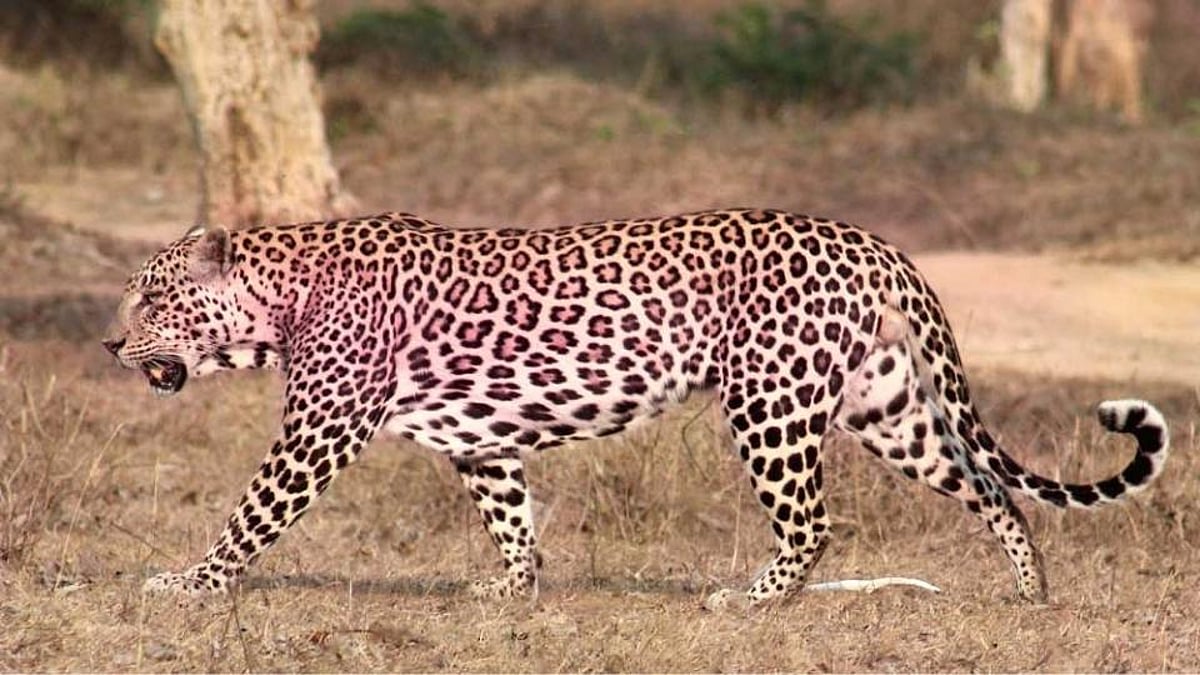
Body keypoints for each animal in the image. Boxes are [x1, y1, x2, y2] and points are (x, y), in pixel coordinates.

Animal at [103, 208, 1170, 607]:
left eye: (150, 298)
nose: (111, 344)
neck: (279, 296)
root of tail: (870, 240)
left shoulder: (319, 430)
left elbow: (250, 515)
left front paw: (186, 582)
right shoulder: (480, 439)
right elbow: (511, 516)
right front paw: (514, 589)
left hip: (770, 403)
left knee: (815, 521)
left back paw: (752, 599)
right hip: (887, 404)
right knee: (994, 488)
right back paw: (1030, 589)